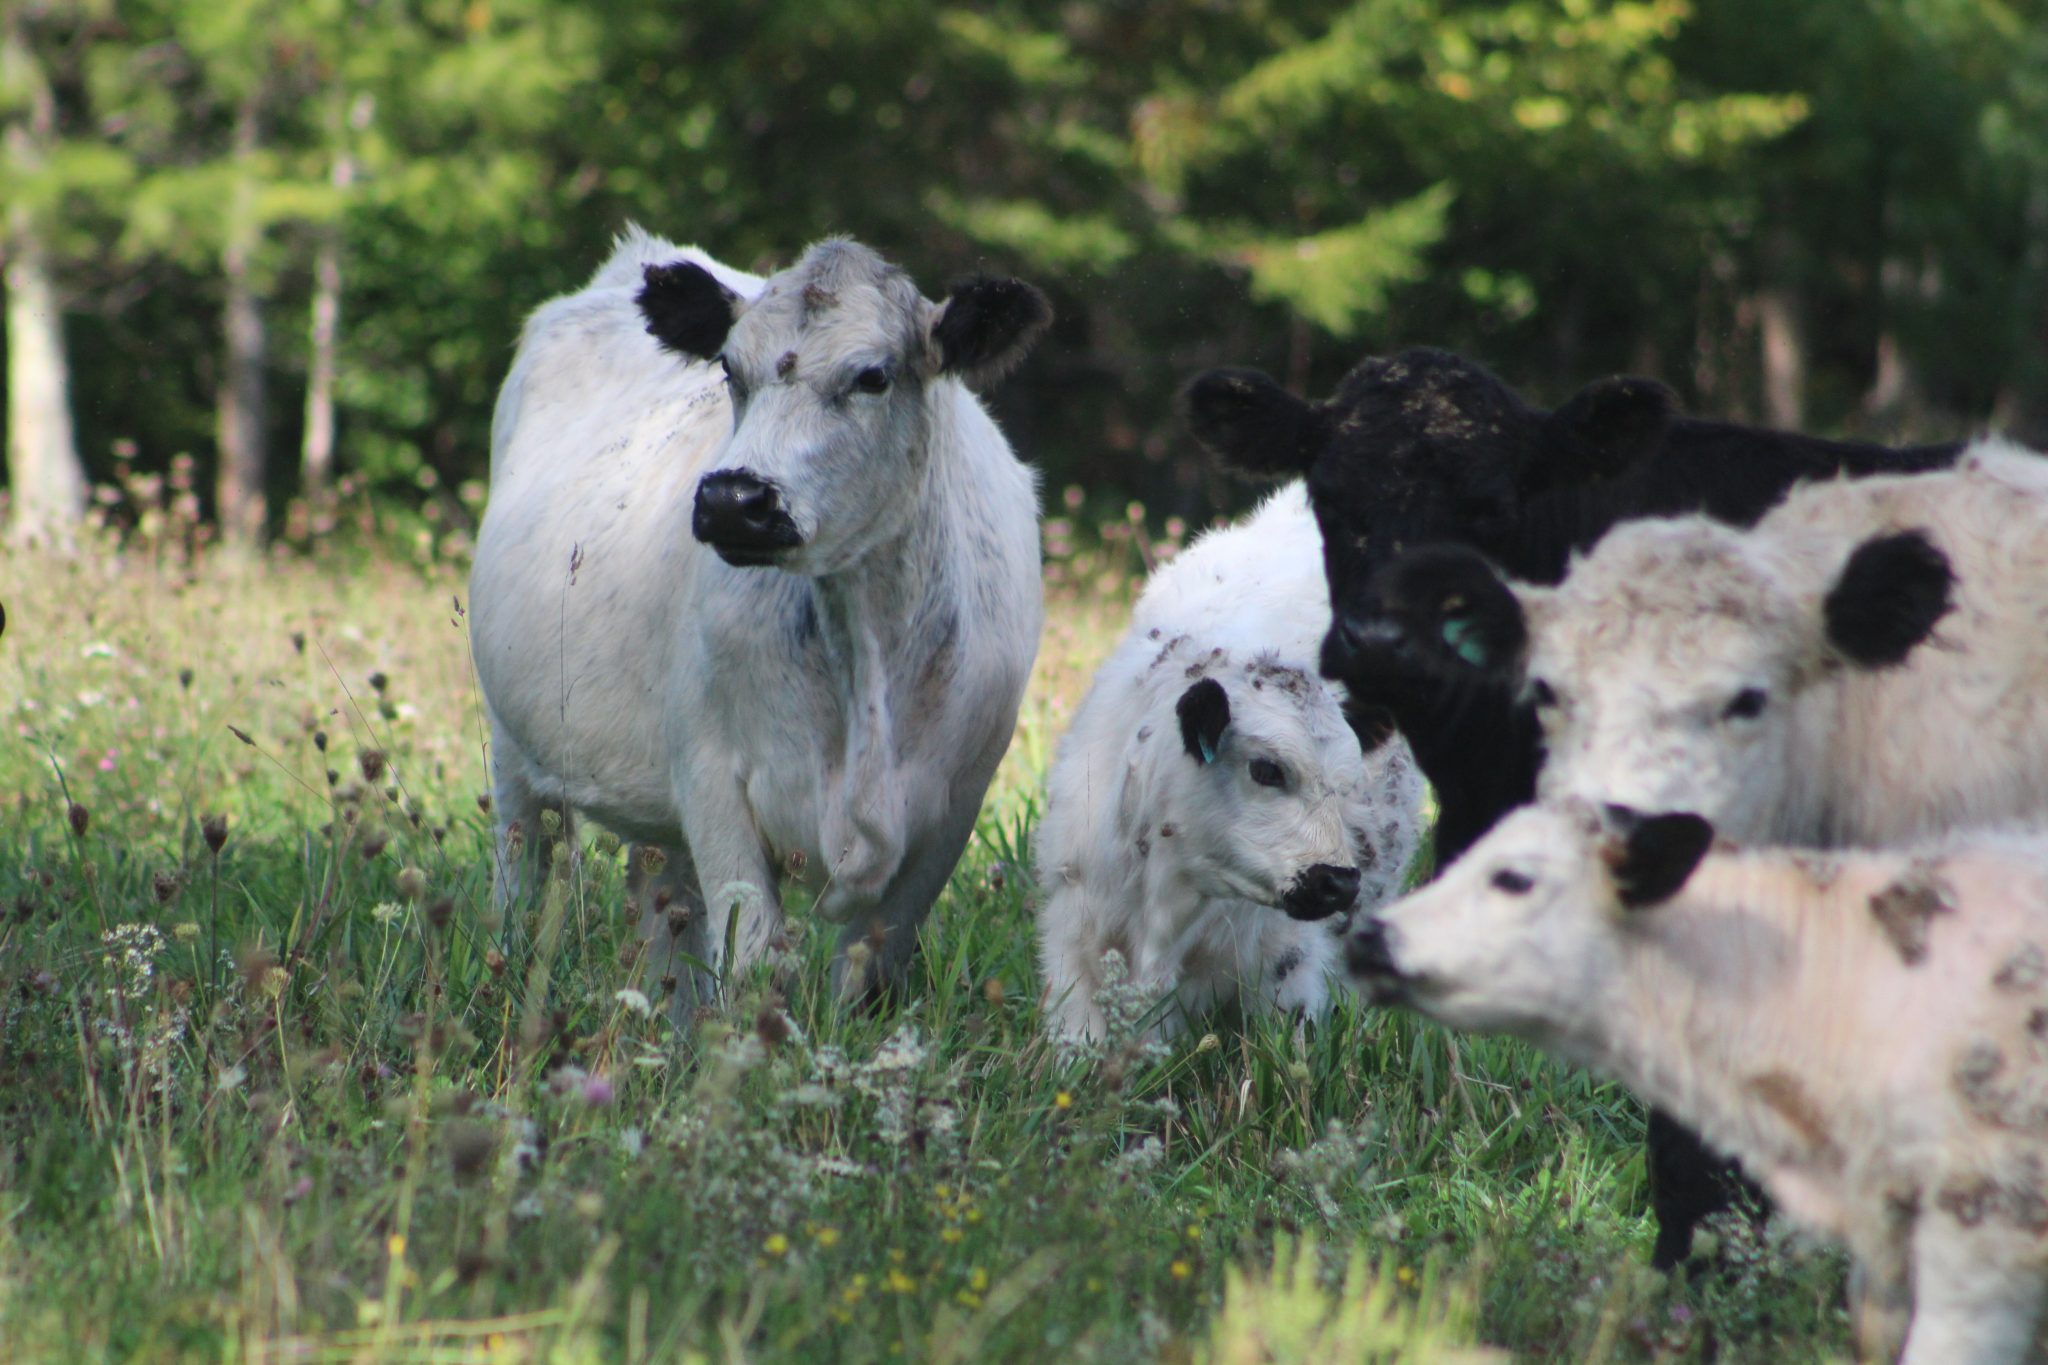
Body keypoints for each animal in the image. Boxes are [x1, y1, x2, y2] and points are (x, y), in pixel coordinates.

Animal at [469, 228, 1050, 1020]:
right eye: (728, 368)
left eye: (873, 376)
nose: (731, 500)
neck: (861, 643)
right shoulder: (713, 777)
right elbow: (753, 966)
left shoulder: (950, 810)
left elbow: (866, 980)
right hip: (513, 742)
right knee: (521, 873)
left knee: (664, 914)